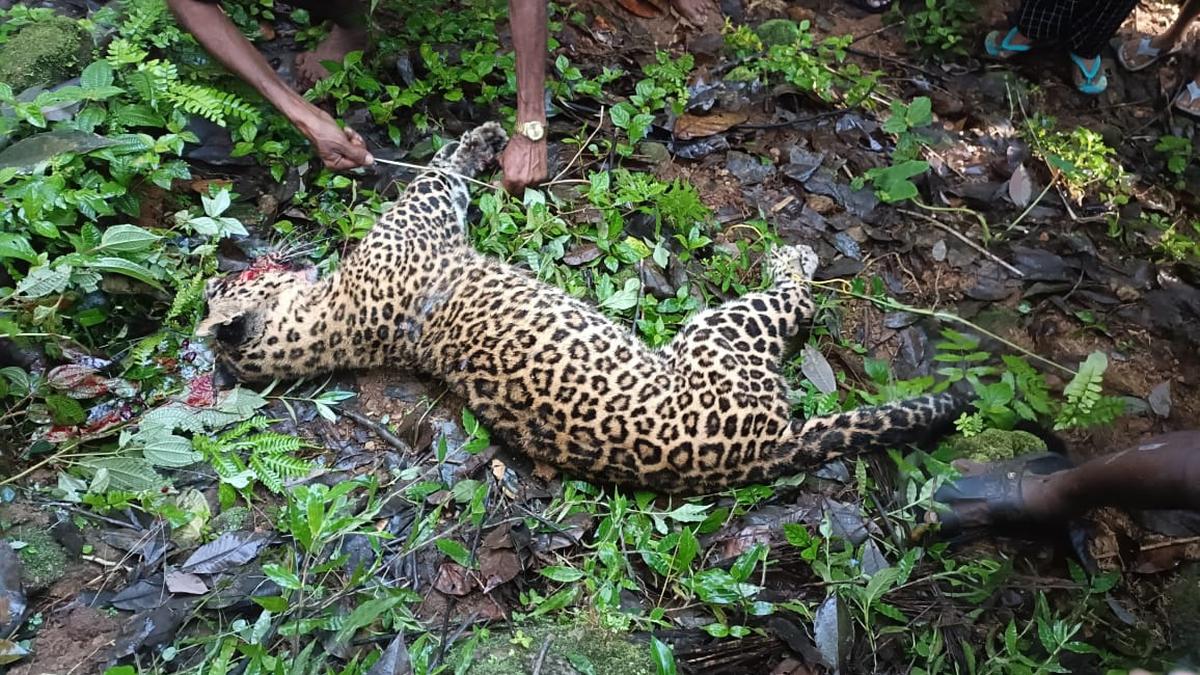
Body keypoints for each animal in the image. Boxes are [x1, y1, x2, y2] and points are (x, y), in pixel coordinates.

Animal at [198, 122, 969, 495]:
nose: (260, 254)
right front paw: (482, 139)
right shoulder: (426, 213)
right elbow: (442, 171)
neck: (330, 324)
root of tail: (769, 448)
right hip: (719, 334)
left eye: (235, 277)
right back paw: (793, 256)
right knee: (793, 298)